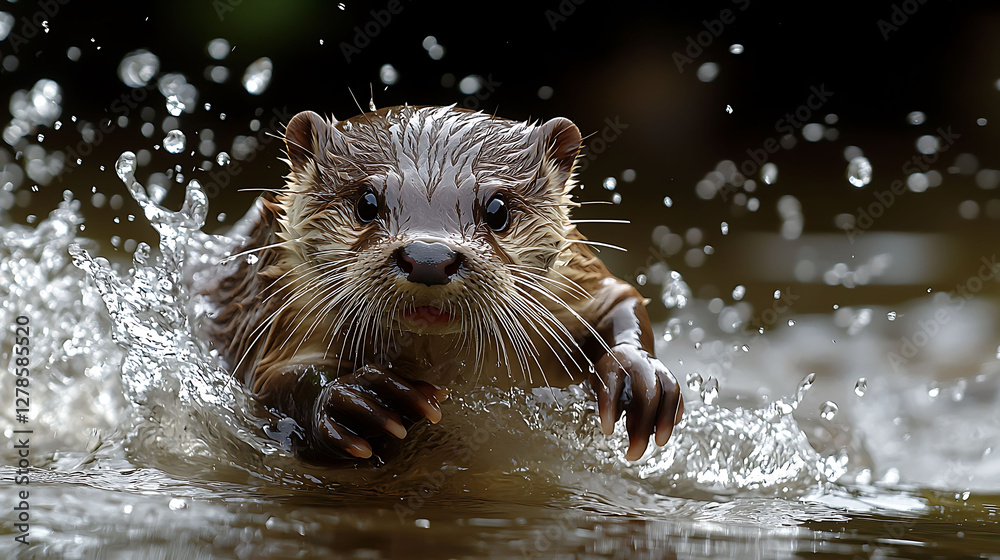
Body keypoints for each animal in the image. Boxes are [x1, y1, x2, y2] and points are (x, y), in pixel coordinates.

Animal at [208, 105, 682, 464]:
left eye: (497, 210)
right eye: (366, 202)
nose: (429, 257)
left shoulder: (573, 281)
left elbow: (620, 298)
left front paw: (638, 375)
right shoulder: (278, 311)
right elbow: (270, 381)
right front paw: (356, 397)